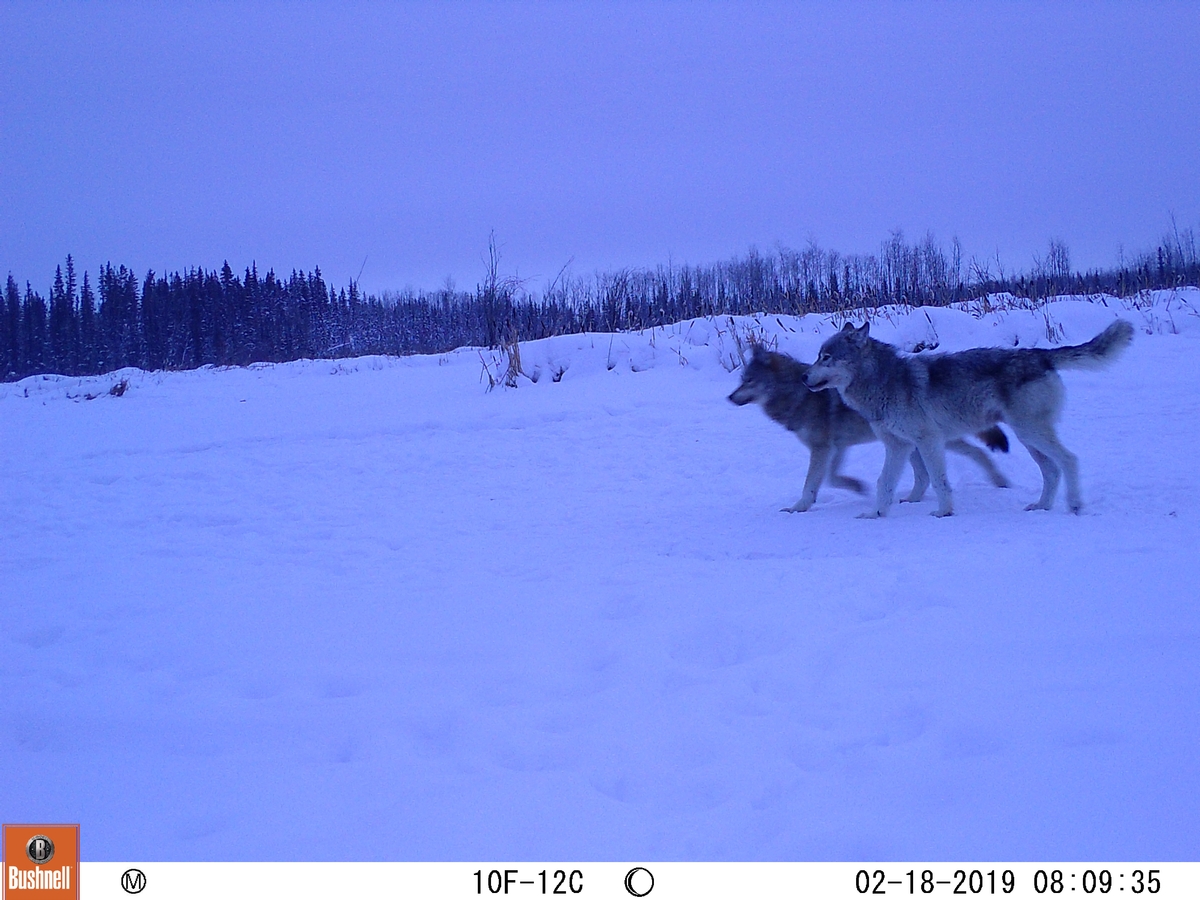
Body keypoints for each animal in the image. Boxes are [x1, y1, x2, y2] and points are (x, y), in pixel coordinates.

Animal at [729, 344, 1010, 512]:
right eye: (742, 380)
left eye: (749, 381)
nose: (730, 397)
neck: (798, 394)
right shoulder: (837, 448)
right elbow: (832, 478)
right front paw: (856, 486)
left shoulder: (822, 448)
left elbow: (812, 483)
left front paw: (799, 507)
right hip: (912, 443)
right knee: (925, 474)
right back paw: (912, 499)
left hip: (934, 440)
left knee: (977, 453)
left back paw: (1000, 481)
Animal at [803, 319, 1134, 517]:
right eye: (818, 355)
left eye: (826, 357)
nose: (804, 377)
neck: (883, 381)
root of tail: (1040, 354)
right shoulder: (899, 445)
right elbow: (884, 482)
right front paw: (876, 515)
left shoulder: (928, 441)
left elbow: (938, 480)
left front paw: (944, 512)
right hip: (1027, 437)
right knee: (1051, 471)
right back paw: (1041, 506)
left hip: (1031, 433)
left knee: (1069, 460)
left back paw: (1075, 505)